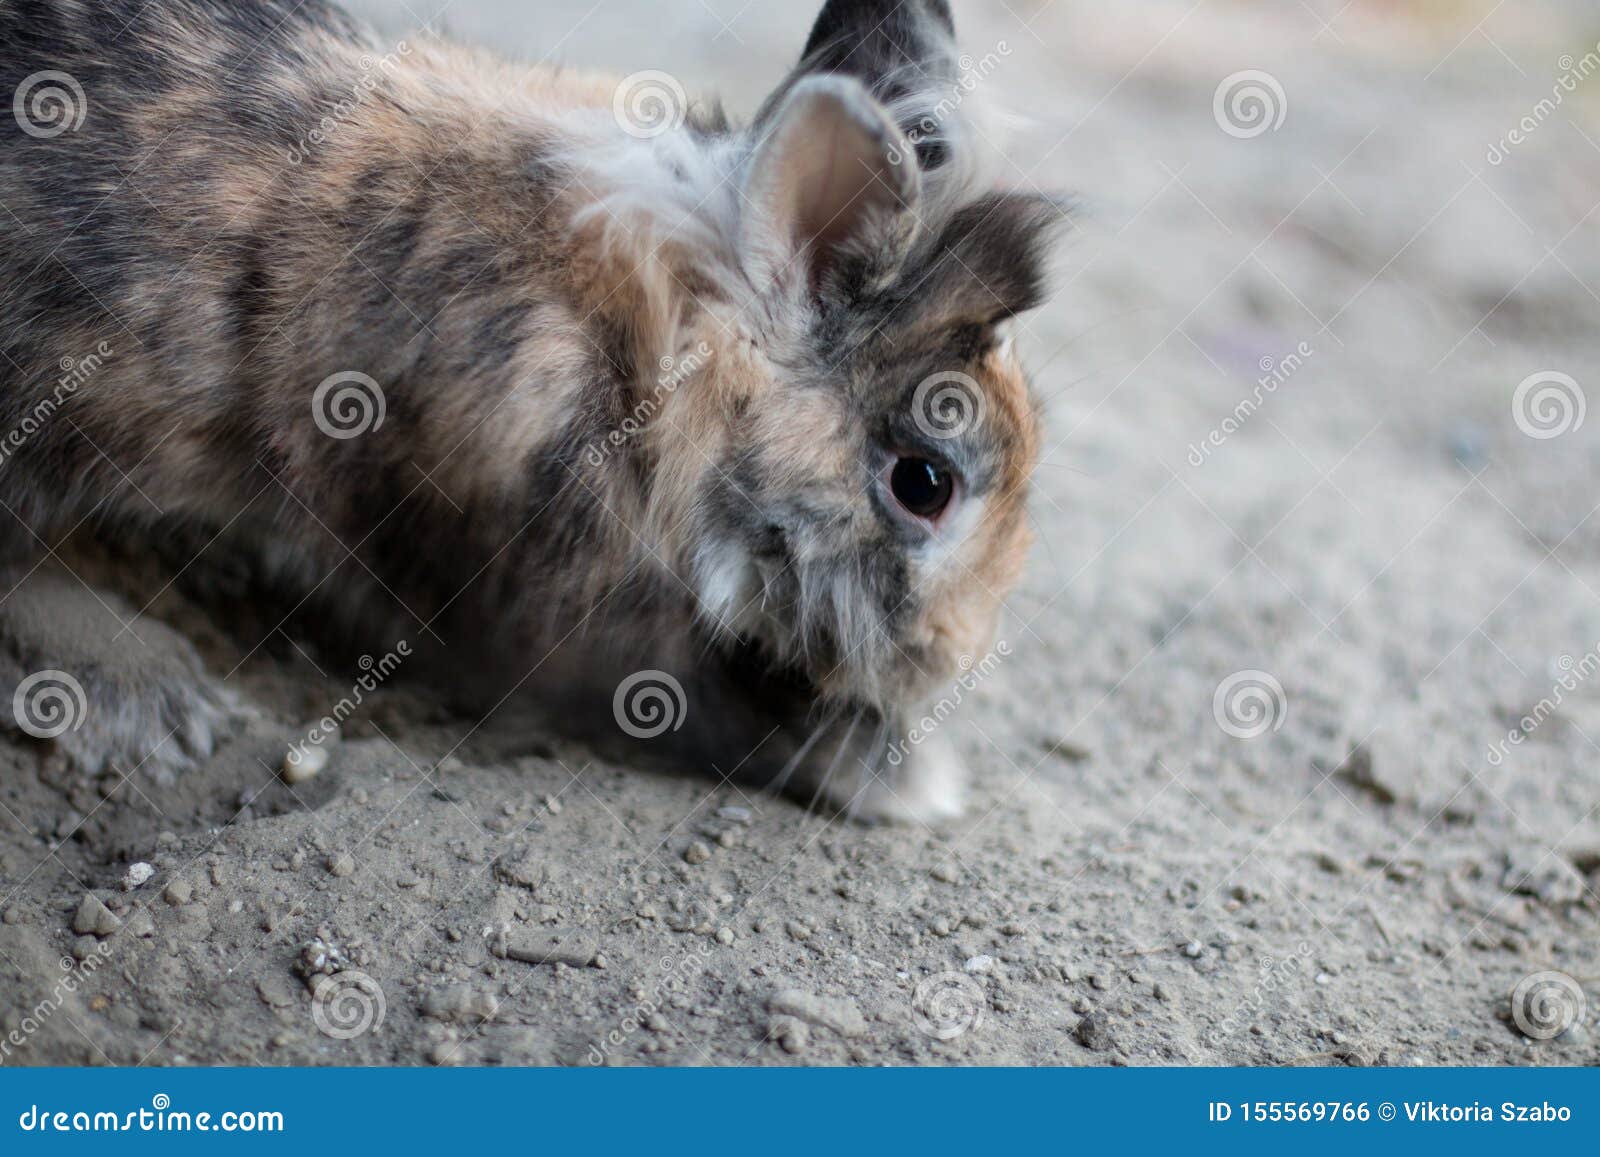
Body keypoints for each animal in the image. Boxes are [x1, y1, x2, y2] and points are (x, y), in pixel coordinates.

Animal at [0, 0, 1062, 822]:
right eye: (924, 483)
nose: (955, 652)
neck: (647, 361)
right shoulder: (535, 597)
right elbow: (697, 699)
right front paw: (907, 783)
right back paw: (147, 692)